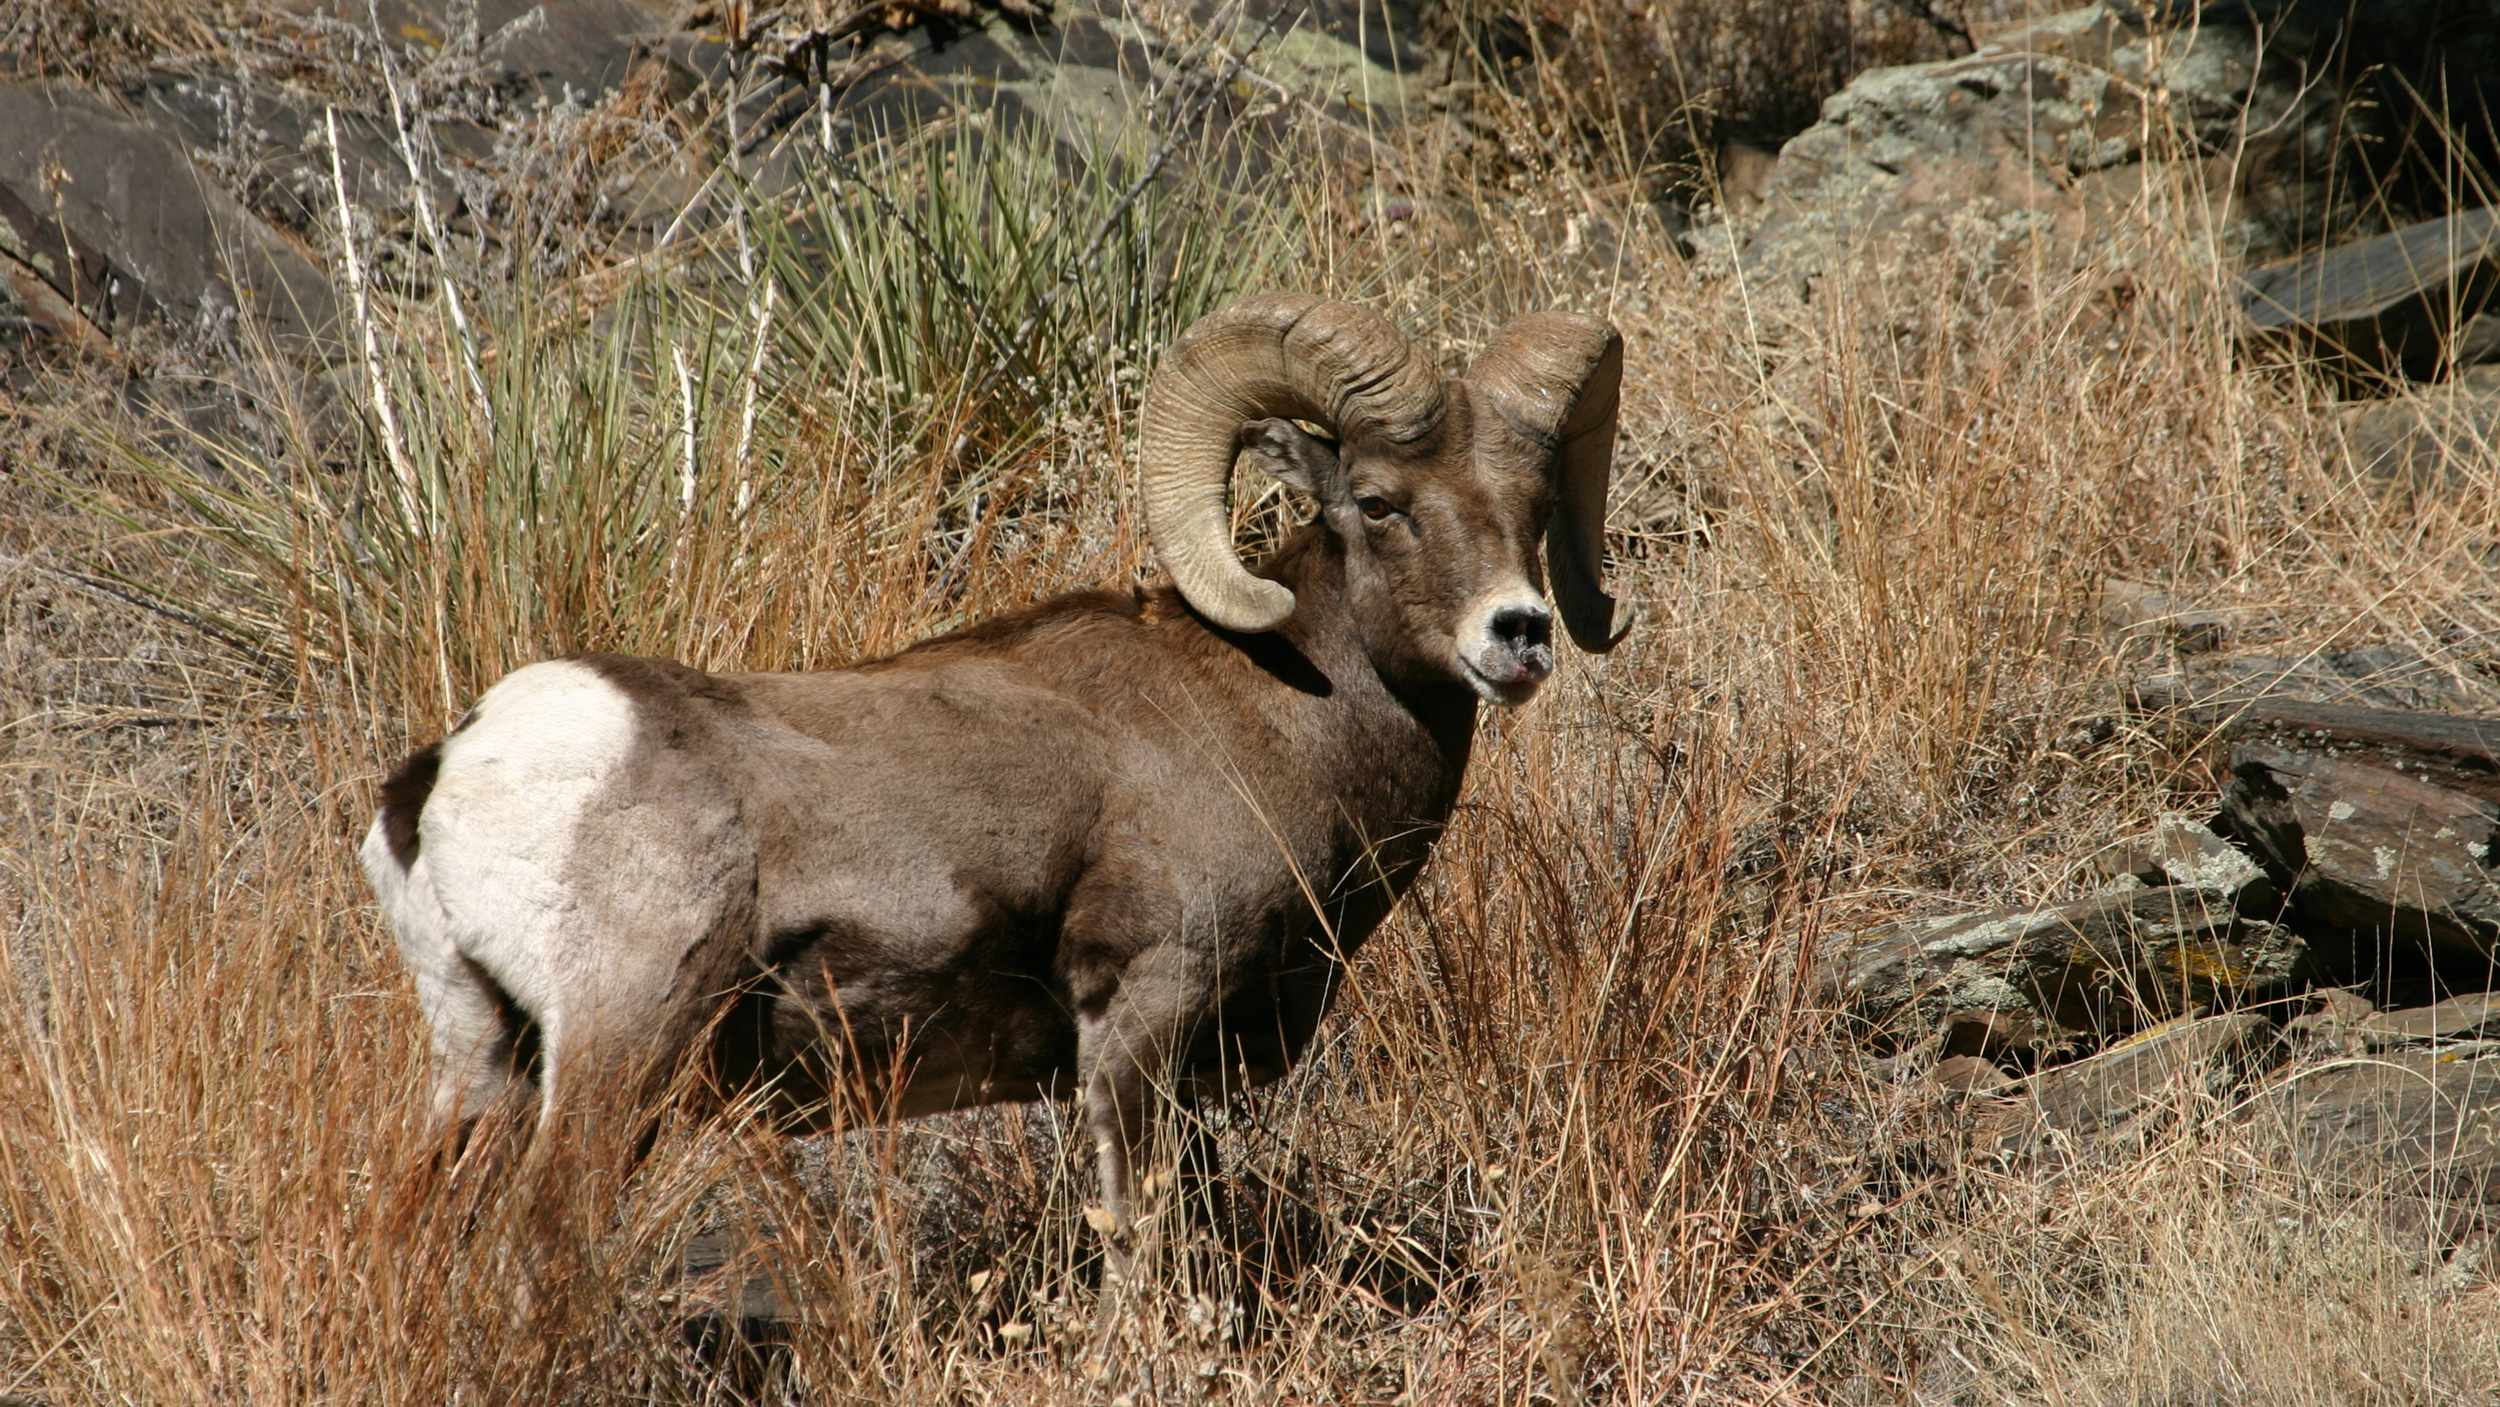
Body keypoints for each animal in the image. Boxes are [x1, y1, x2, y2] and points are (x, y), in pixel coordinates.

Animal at [360, 293, 1630, 1270]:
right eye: (1376, 502)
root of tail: (453, 773)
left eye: (1530, 511)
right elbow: (1140, 1242)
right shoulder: (1141, 1013)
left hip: (481, 1060)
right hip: (618, 1059)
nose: (1518, 634)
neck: (1279, 709)